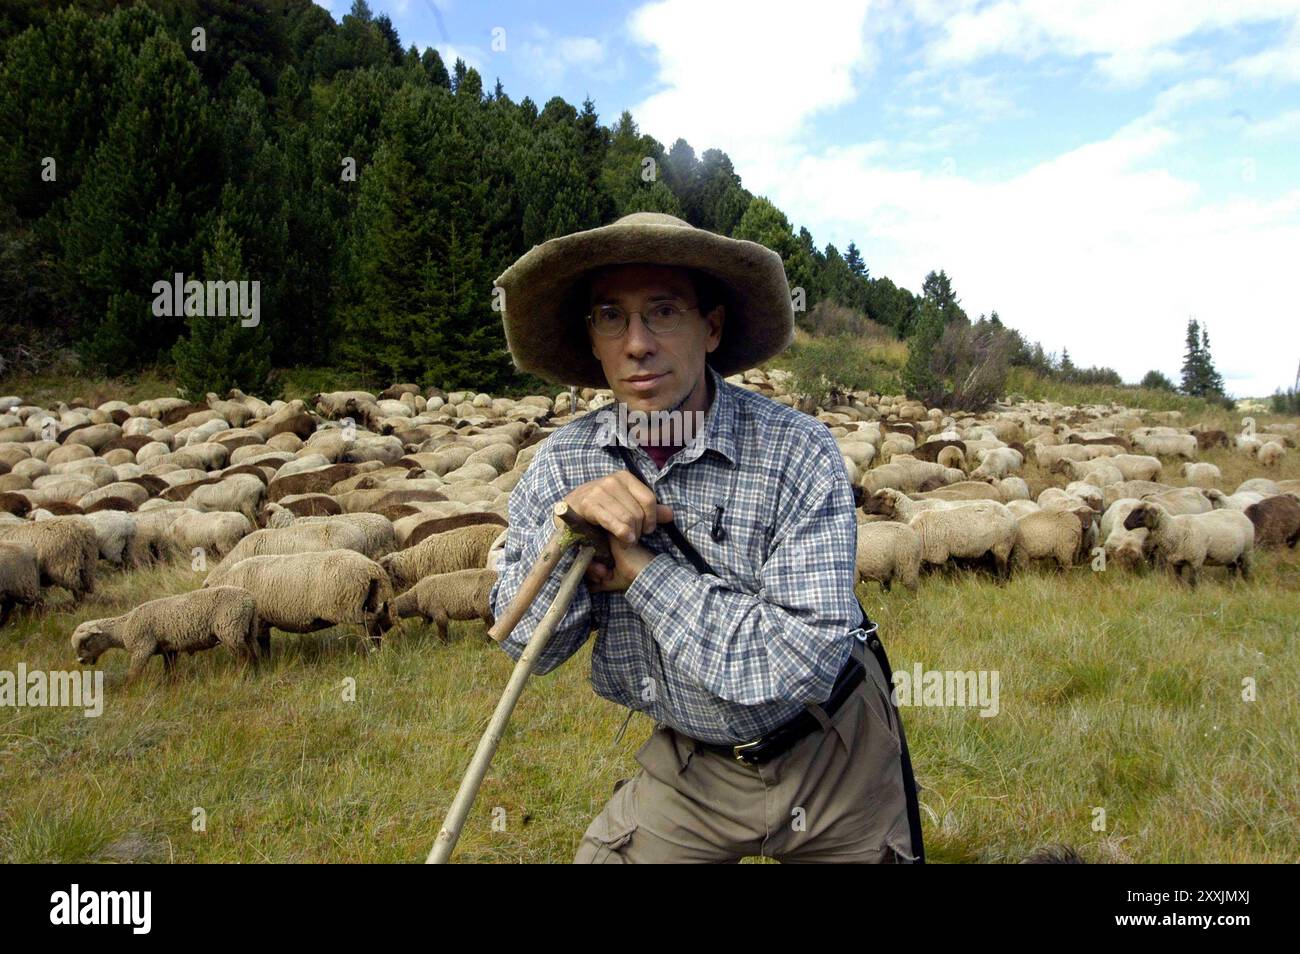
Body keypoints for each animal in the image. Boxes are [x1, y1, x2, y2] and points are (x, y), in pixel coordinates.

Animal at [72, 586, 260, 682]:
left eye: (85, 641)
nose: (81, 661)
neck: (122, 628)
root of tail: (249, 599)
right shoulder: (169, 649)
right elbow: (169, 670)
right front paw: (170, 683)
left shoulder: (142, 648)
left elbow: (133, 674)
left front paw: (129, 689)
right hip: (249, 629)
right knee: (253, 653)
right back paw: (256, 673)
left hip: (230, 628)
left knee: (243, 656)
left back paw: (242, 676)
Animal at [207, 549, 393, 653]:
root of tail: (371, 568)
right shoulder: (262, 621)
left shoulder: (260, 620)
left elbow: (264, 644)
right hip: (368, 599)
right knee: (377, 615)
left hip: (348, 607)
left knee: (372, 620)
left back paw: (376, 645)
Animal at [1122, 503, 1254, 586]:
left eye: (1141, 511)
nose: (1125, 524)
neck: (1173, 529)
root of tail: (1243, 515)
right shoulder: (1176, 562)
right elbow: (1178, 580)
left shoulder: (1195, 560)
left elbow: (1192, 582)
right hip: (1229, 554)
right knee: (1232, 570)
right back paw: (1231, 585)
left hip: (1246, 551)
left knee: (1245, 570)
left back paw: (1247, 585)